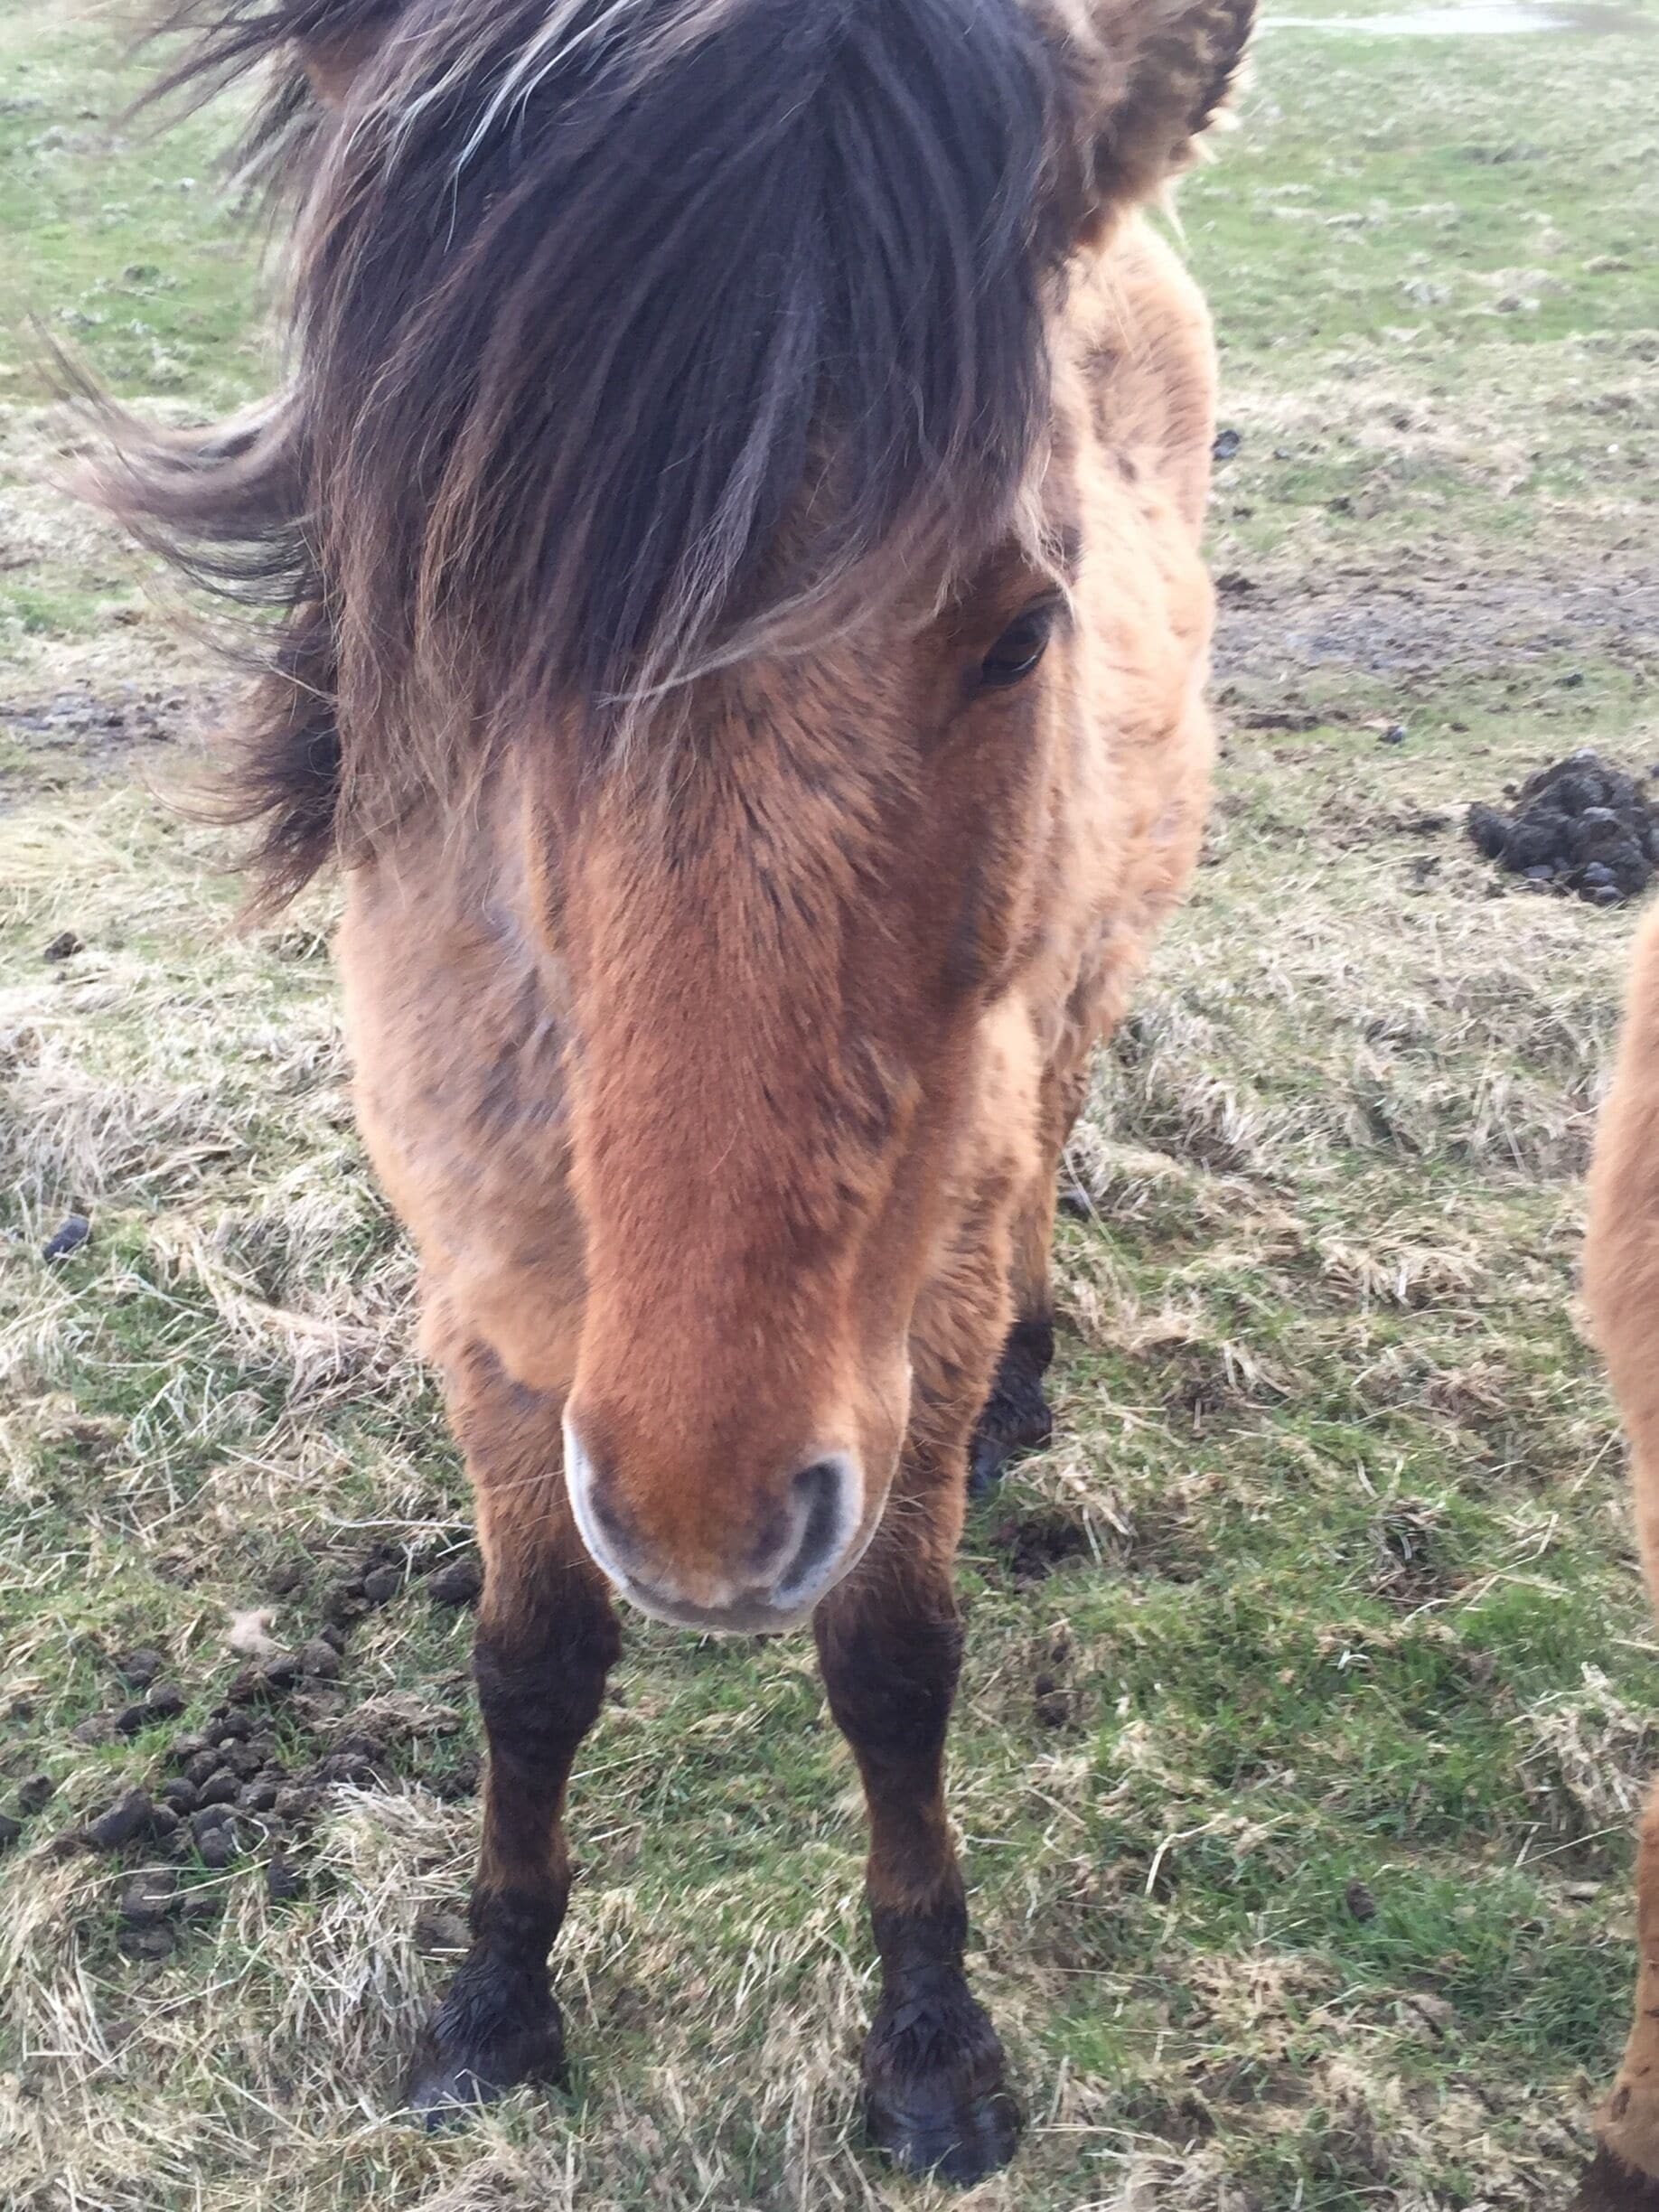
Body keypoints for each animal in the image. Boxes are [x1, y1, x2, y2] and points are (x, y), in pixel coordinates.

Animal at [83, 0, 1254, 2182]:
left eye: (1024, 627)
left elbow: (893, 1663)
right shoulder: (478, 1296)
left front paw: (930, 2043)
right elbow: (530, 1663)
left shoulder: (910, 1311)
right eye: (467, 630)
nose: (708, 1521)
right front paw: (490, 2004)